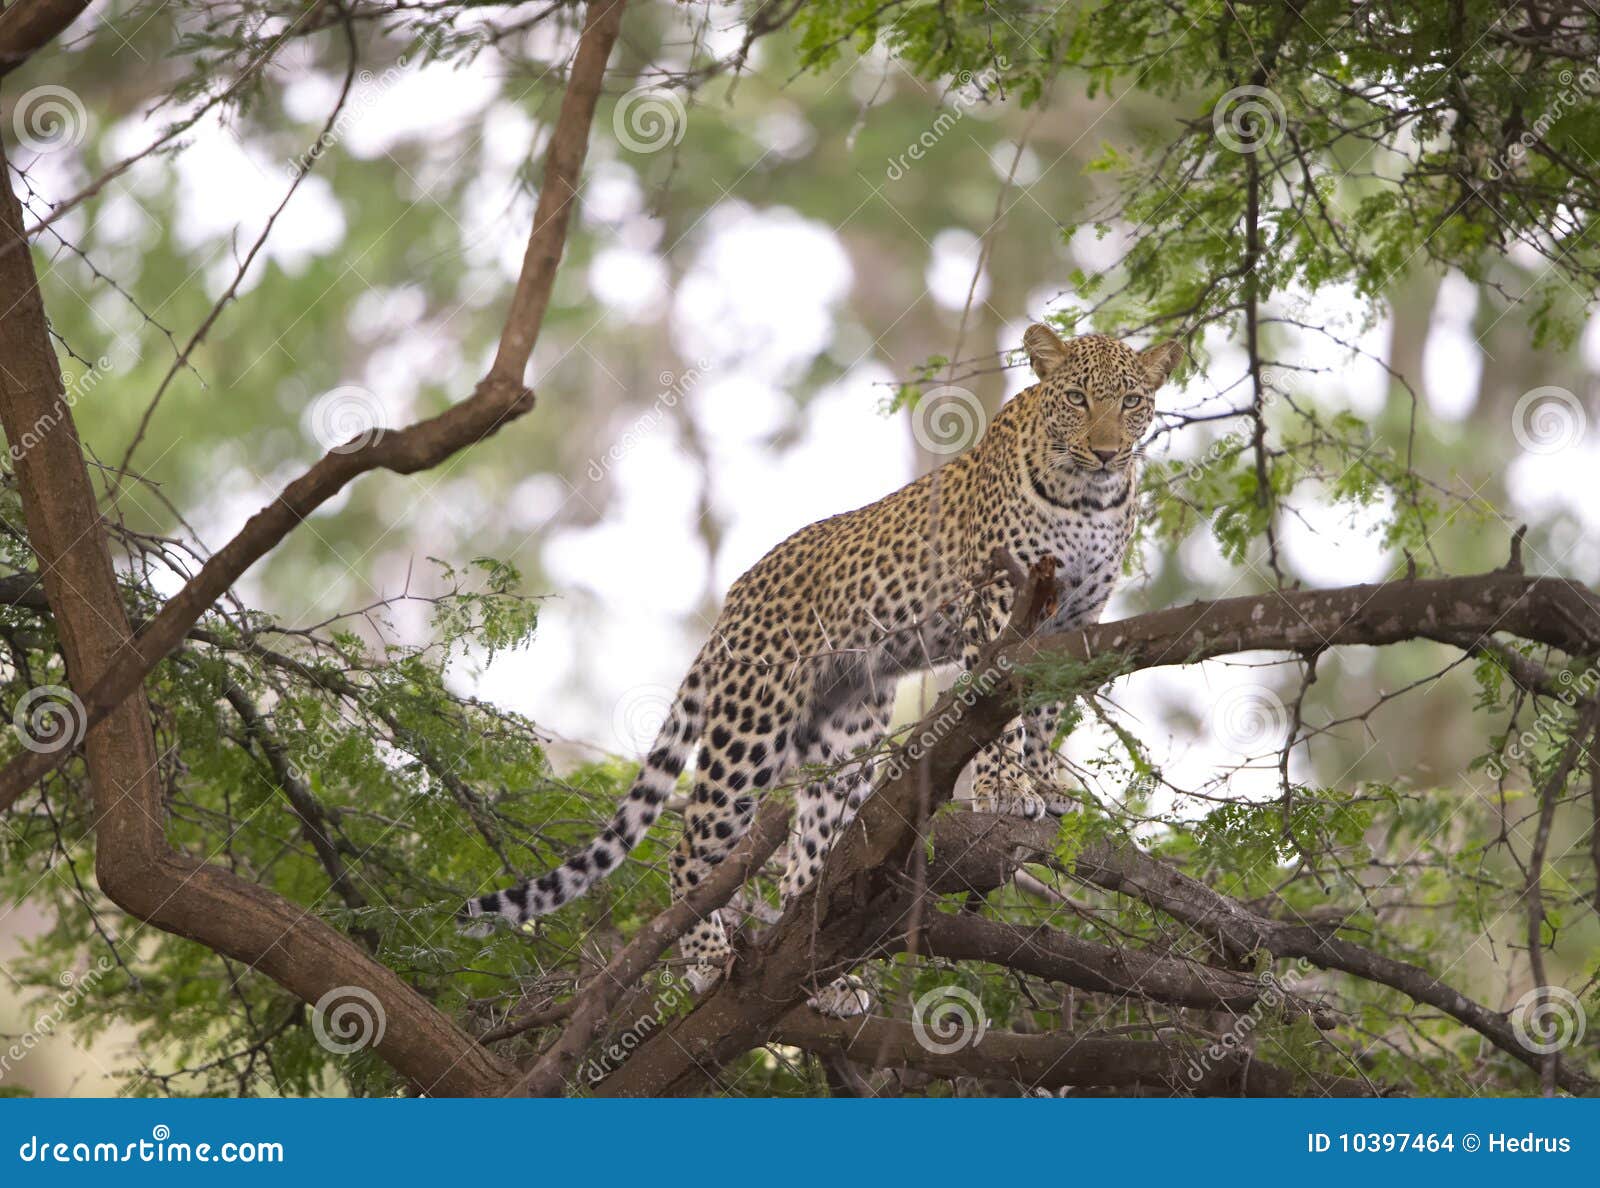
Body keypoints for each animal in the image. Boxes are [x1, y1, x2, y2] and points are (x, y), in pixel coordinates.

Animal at [461, 321, 1182, 1014]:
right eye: (1077, 398)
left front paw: (1047, 779)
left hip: (846, 733)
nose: (1107, 451)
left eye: (1131, 401)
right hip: (751, 729)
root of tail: (735, 599)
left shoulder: (1074, 622)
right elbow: (1000, 714)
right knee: (690, 844)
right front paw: (1007, 786)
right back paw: (708, 958)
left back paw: (821, 968)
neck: (1089, 497)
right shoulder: (998, 603)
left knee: (805, 856)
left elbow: (1047, 714)